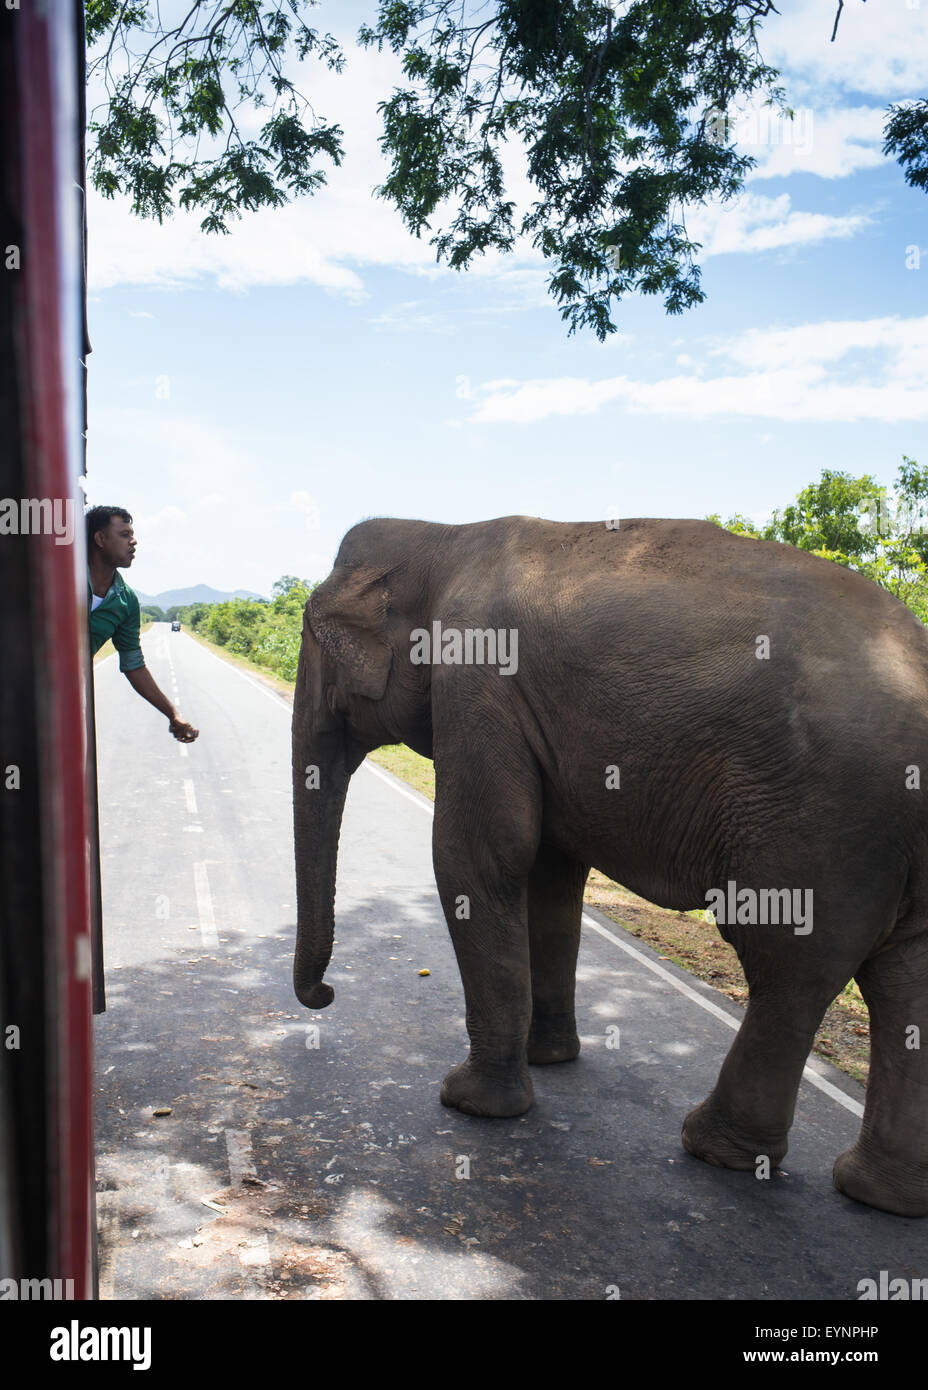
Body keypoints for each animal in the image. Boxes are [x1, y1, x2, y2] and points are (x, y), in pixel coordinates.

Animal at [291, 514, 928, 1218]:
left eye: (317, 652)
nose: (325, 995)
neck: (443, 536)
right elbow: (548, 877)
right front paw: (548, 1060)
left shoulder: (478, 681)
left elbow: (476, 857)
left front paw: (471, 1103)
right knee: (903, 981)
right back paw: (878, 1192)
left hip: (824, 823)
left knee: (789, 966)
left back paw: (716, 1151)